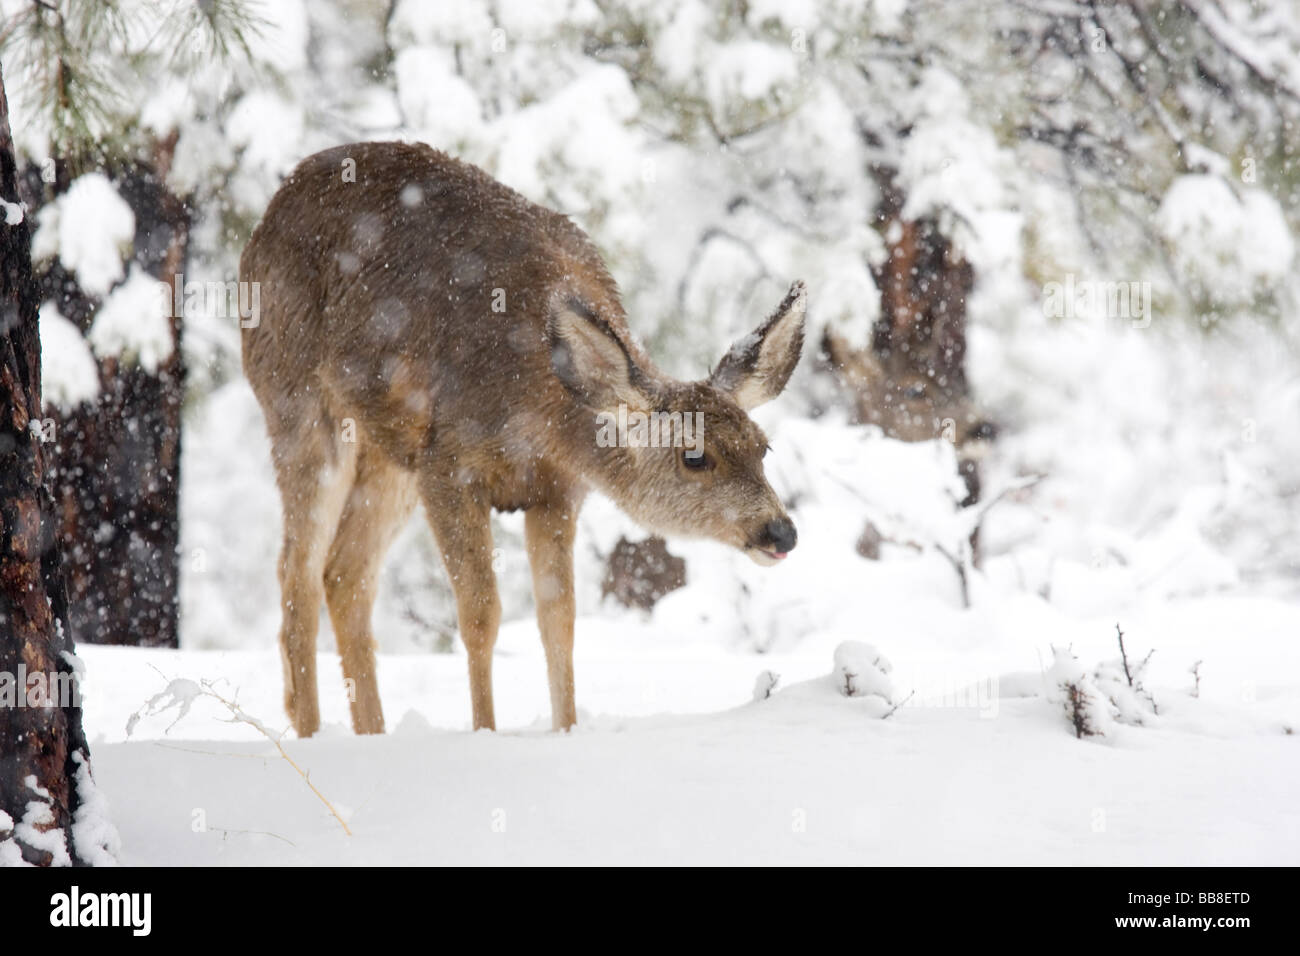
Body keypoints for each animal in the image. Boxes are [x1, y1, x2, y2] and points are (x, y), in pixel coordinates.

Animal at [240, 141, 805, 737]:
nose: (780, 531)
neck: (539, 413)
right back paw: (310, 733)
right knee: (297, 575)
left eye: (763, 447)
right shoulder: (449, 464)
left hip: (389, 454)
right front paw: (486, 733)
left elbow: (559, 620)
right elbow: (480, 613)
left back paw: (373, 734)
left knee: (345, 574)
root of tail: (269, 213)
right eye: (694, 456)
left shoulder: (557, 491)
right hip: (297, 401)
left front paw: (565, 729)